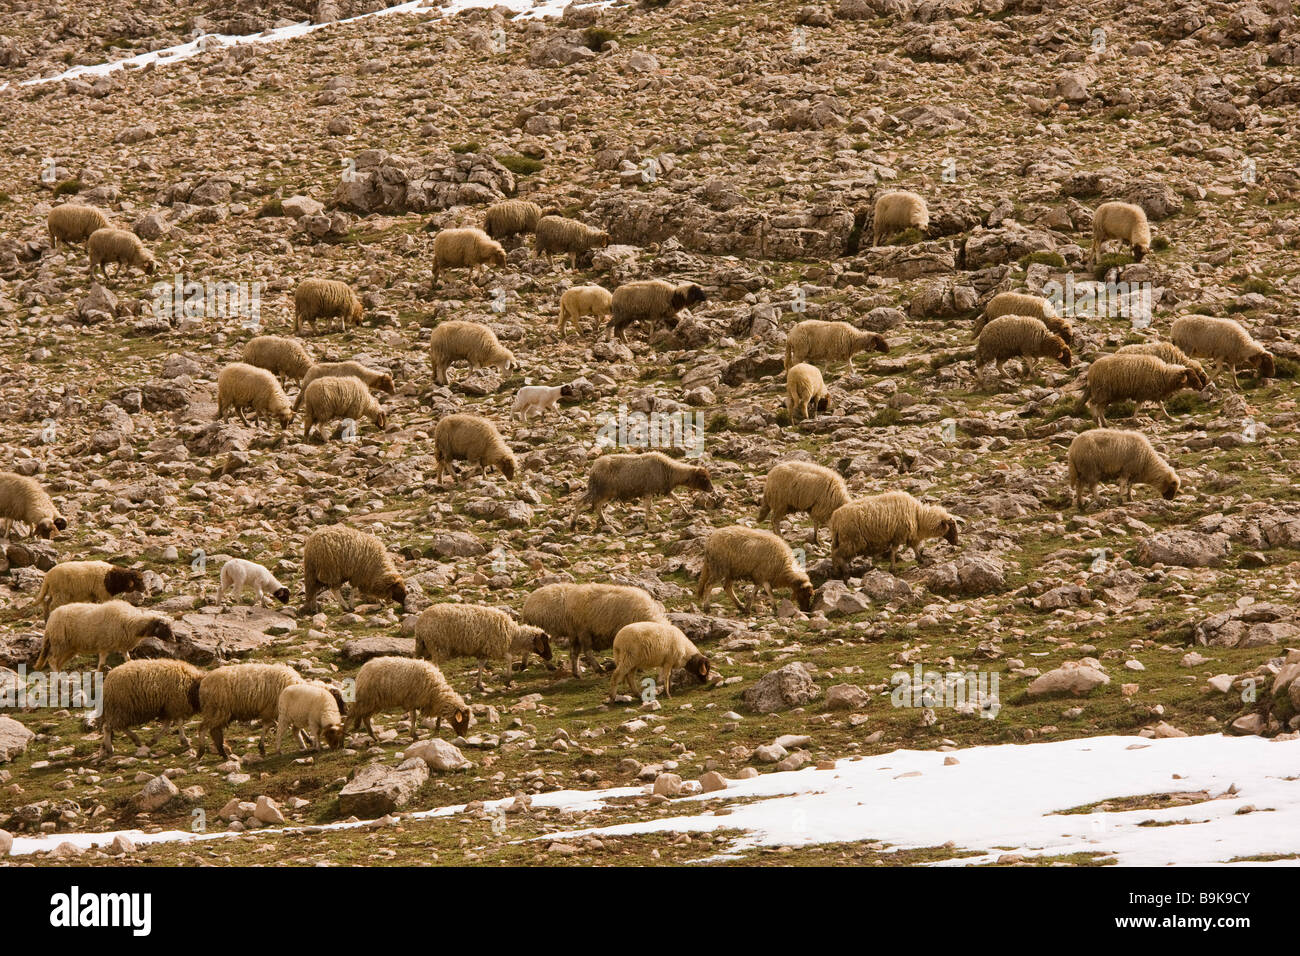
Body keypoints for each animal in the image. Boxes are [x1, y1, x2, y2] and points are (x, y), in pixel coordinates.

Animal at [34, 600, 175, 672]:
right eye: (164, 627)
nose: (173, 639)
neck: (131, 622)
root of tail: (51, 619)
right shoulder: (104, 645)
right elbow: (101, 664)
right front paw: (99, 673)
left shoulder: (122, 645)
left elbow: (128, 659)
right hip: (59, 643)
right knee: (52, 660)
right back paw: (57, 675)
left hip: (69, 648)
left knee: (58, 662)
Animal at [414, 603, 552, 692]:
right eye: (544, 642)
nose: (550, 657)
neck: (513, 635)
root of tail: (420, 624)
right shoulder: (496, 647)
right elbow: (509, 658)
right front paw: (508, 681)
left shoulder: (484, 650)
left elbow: (481, 665)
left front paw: (479, 685)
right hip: (437, 646)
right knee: (435, 666)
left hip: (424, 648)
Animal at [522, 582, 668, 678]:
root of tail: (527, 605)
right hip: (580, 631)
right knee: (586, 652)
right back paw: (597, 669)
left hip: (575, 633)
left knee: (573, 653)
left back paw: (575, 673)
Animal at [570, 451, 714, 532]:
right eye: (704, 478)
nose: (712, 489)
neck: (669, 471)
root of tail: (593, 467)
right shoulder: (649, 490)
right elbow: (648, 507)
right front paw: (646, 525)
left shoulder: (664, 489)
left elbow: (677, 500)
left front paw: (688, 514)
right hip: (599, 490)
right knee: (580, 502)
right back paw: (573, 524)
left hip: (607, 492)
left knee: (597, 506)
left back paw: (605, 522)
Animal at [830, 491, 961, 576]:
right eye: (952, 526)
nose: (956, 542)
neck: (919, 516)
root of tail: (835, 518)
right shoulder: (899, 535)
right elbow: (894, 551)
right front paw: (893, 569)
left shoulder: (908, 535)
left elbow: (914, 547)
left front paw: (921, 560)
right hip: (852, 540)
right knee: (837, 554)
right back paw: (845, 573)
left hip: (842, 540)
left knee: (834, 553)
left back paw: (836, 572)